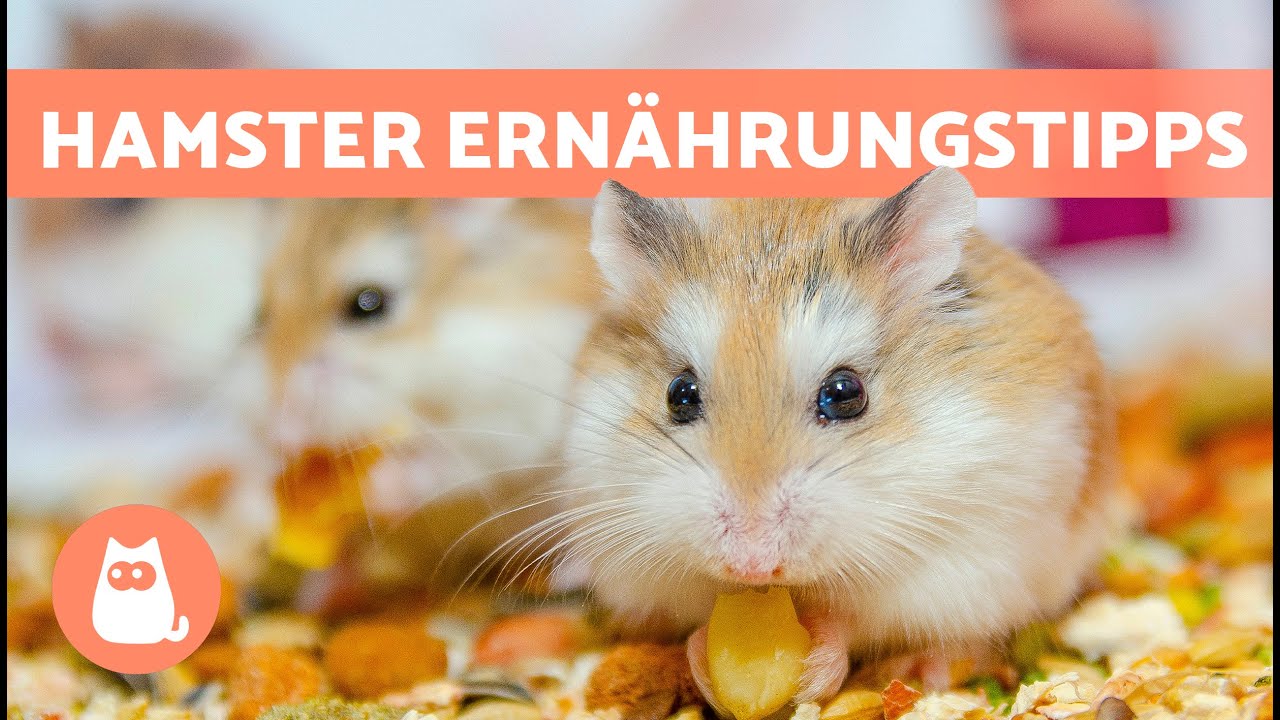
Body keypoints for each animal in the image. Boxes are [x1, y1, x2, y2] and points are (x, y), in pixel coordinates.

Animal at [554, 167, 1123, 702]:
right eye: (679, 394)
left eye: (845, 393)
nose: (751, 564)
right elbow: (698, 618)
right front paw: (703, 665)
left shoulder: (949, 562)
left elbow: (850, 621)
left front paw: (814, 672)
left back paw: (927, 671)